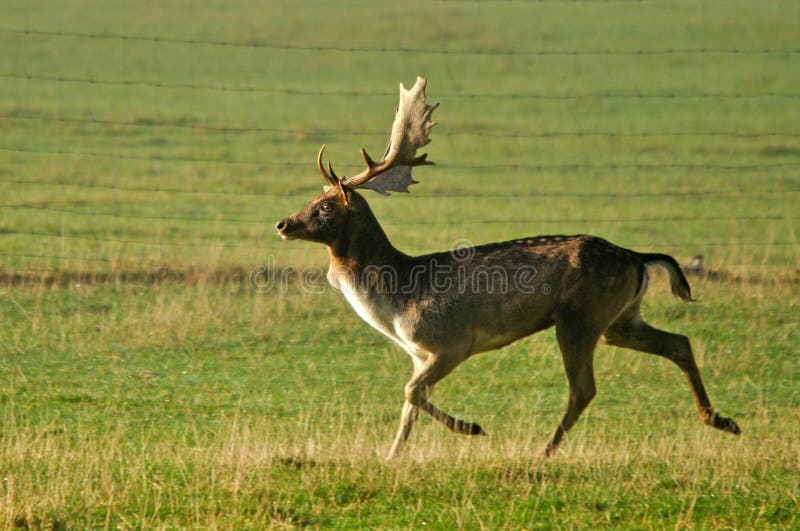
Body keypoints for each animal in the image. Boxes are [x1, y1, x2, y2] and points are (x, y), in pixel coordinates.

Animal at [275, 76, 741, 459]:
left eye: (324, 207)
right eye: (312, 200)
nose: (283, 224)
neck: (397, 303)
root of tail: (639, 258)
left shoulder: (451, 341)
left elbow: (410, 393)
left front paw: (472, 428)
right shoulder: (417, 354)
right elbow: (408, 408)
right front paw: (391, 457)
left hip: (579, 318)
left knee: (584, 389)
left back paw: (543, 452)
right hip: (620, 319)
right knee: (678, 342)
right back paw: (722, 420)